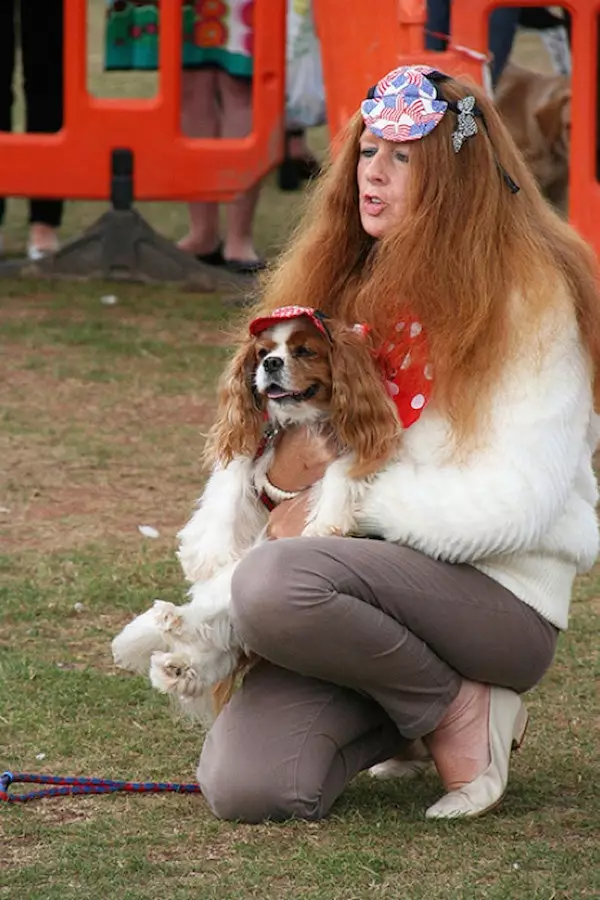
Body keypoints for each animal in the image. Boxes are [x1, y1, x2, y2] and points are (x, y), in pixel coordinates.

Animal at [111, 308, 404, 716]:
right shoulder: (253, 447)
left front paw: (324, 523)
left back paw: (180, 658)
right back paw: (177, 651)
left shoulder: (358, 447)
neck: (304, 419)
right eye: (263, 352)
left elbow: (340, 473)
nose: (271, 363)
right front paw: (207, 552)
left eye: (304, 351)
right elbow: (228, 489)